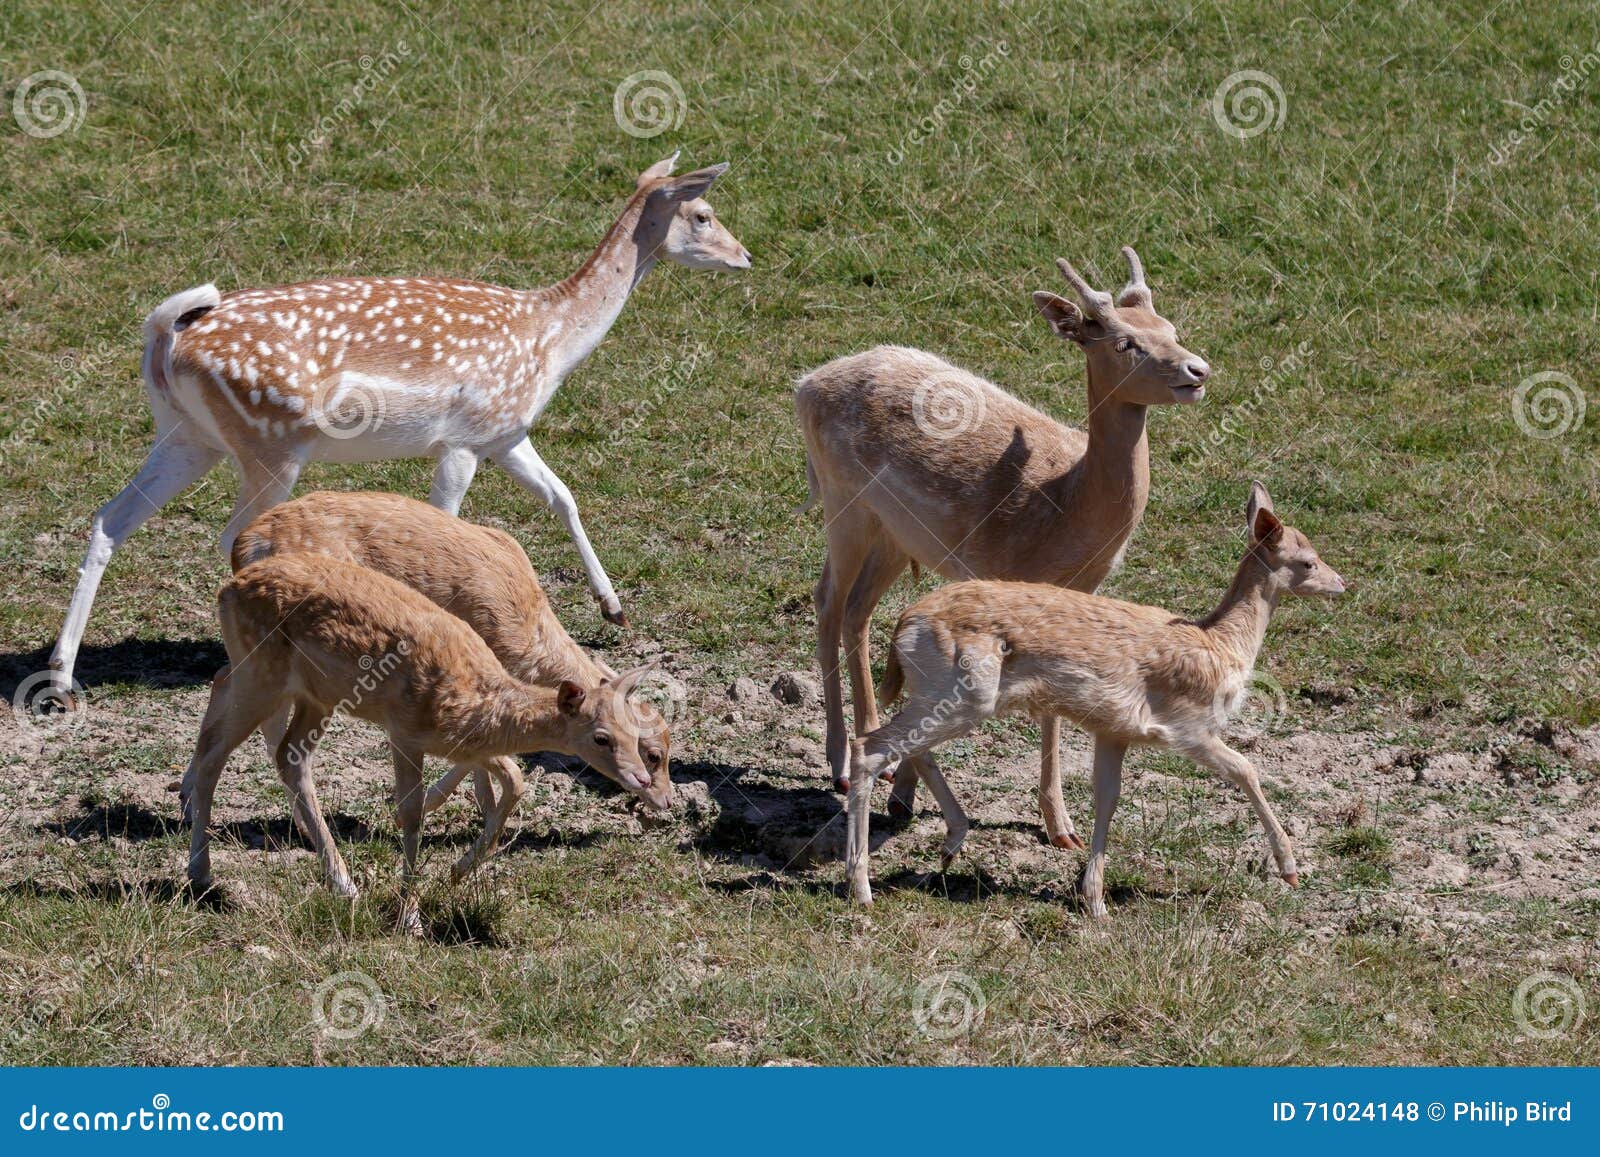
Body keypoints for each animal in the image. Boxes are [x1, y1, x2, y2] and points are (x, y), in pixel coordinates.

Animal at [47, 153, 750, 697]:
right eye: (703, 213)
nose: (745, 256)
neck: (550, 341)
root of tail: (165, 338)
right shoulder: (464, 438)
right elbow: (447, 524)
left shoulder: (505, 433)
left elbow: (563, 496)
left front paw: (615, 607)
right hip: (270, 442)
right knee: (231, 533)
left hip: (189, 436)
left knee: (110, 519)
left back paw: (62, 676)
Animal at [183, 553, 672, 923]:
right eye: (602, 738)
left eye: (635, 735)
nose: (645, 784)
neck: (468, 702)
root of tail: (226, 588)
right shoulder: (404, 731)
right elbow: (412, 815)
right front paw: (410, 915)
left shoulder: (465, 744)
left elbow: (514, 779)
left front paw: (458, 872)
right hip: (262, 671)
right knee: (215, 751)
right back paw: (202, 876)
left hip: (311, 693)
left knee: (284, 750)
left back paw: (341, 883)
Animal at [795, 248, 1210, 850]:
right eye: (1124, 342)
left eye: (1171, 328)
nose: (1196, 370)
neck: (1064, 507)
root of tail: (804, 382)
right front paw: (1055, 825)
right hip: (843, 505)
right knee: (827, 600)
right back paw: (840, 764)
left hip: (893, 534)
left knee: (857, 610)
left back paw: (881, 760)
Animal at [844, 482, 1346, 916]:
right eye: (1307, 561)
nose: (1341, 583)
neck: (1223, 648)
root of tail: (904, 624)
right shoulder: (1188, 727)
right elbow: (1247, 769)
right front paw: (1291, 870)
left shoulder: (1114, 731)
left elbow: (1108, 797)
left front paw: (1094, 900)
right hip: (963, 695)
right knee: (871, 746)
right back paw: (862, 887)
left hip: (940, 695)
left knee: (906, 747)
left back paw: (950, 845)